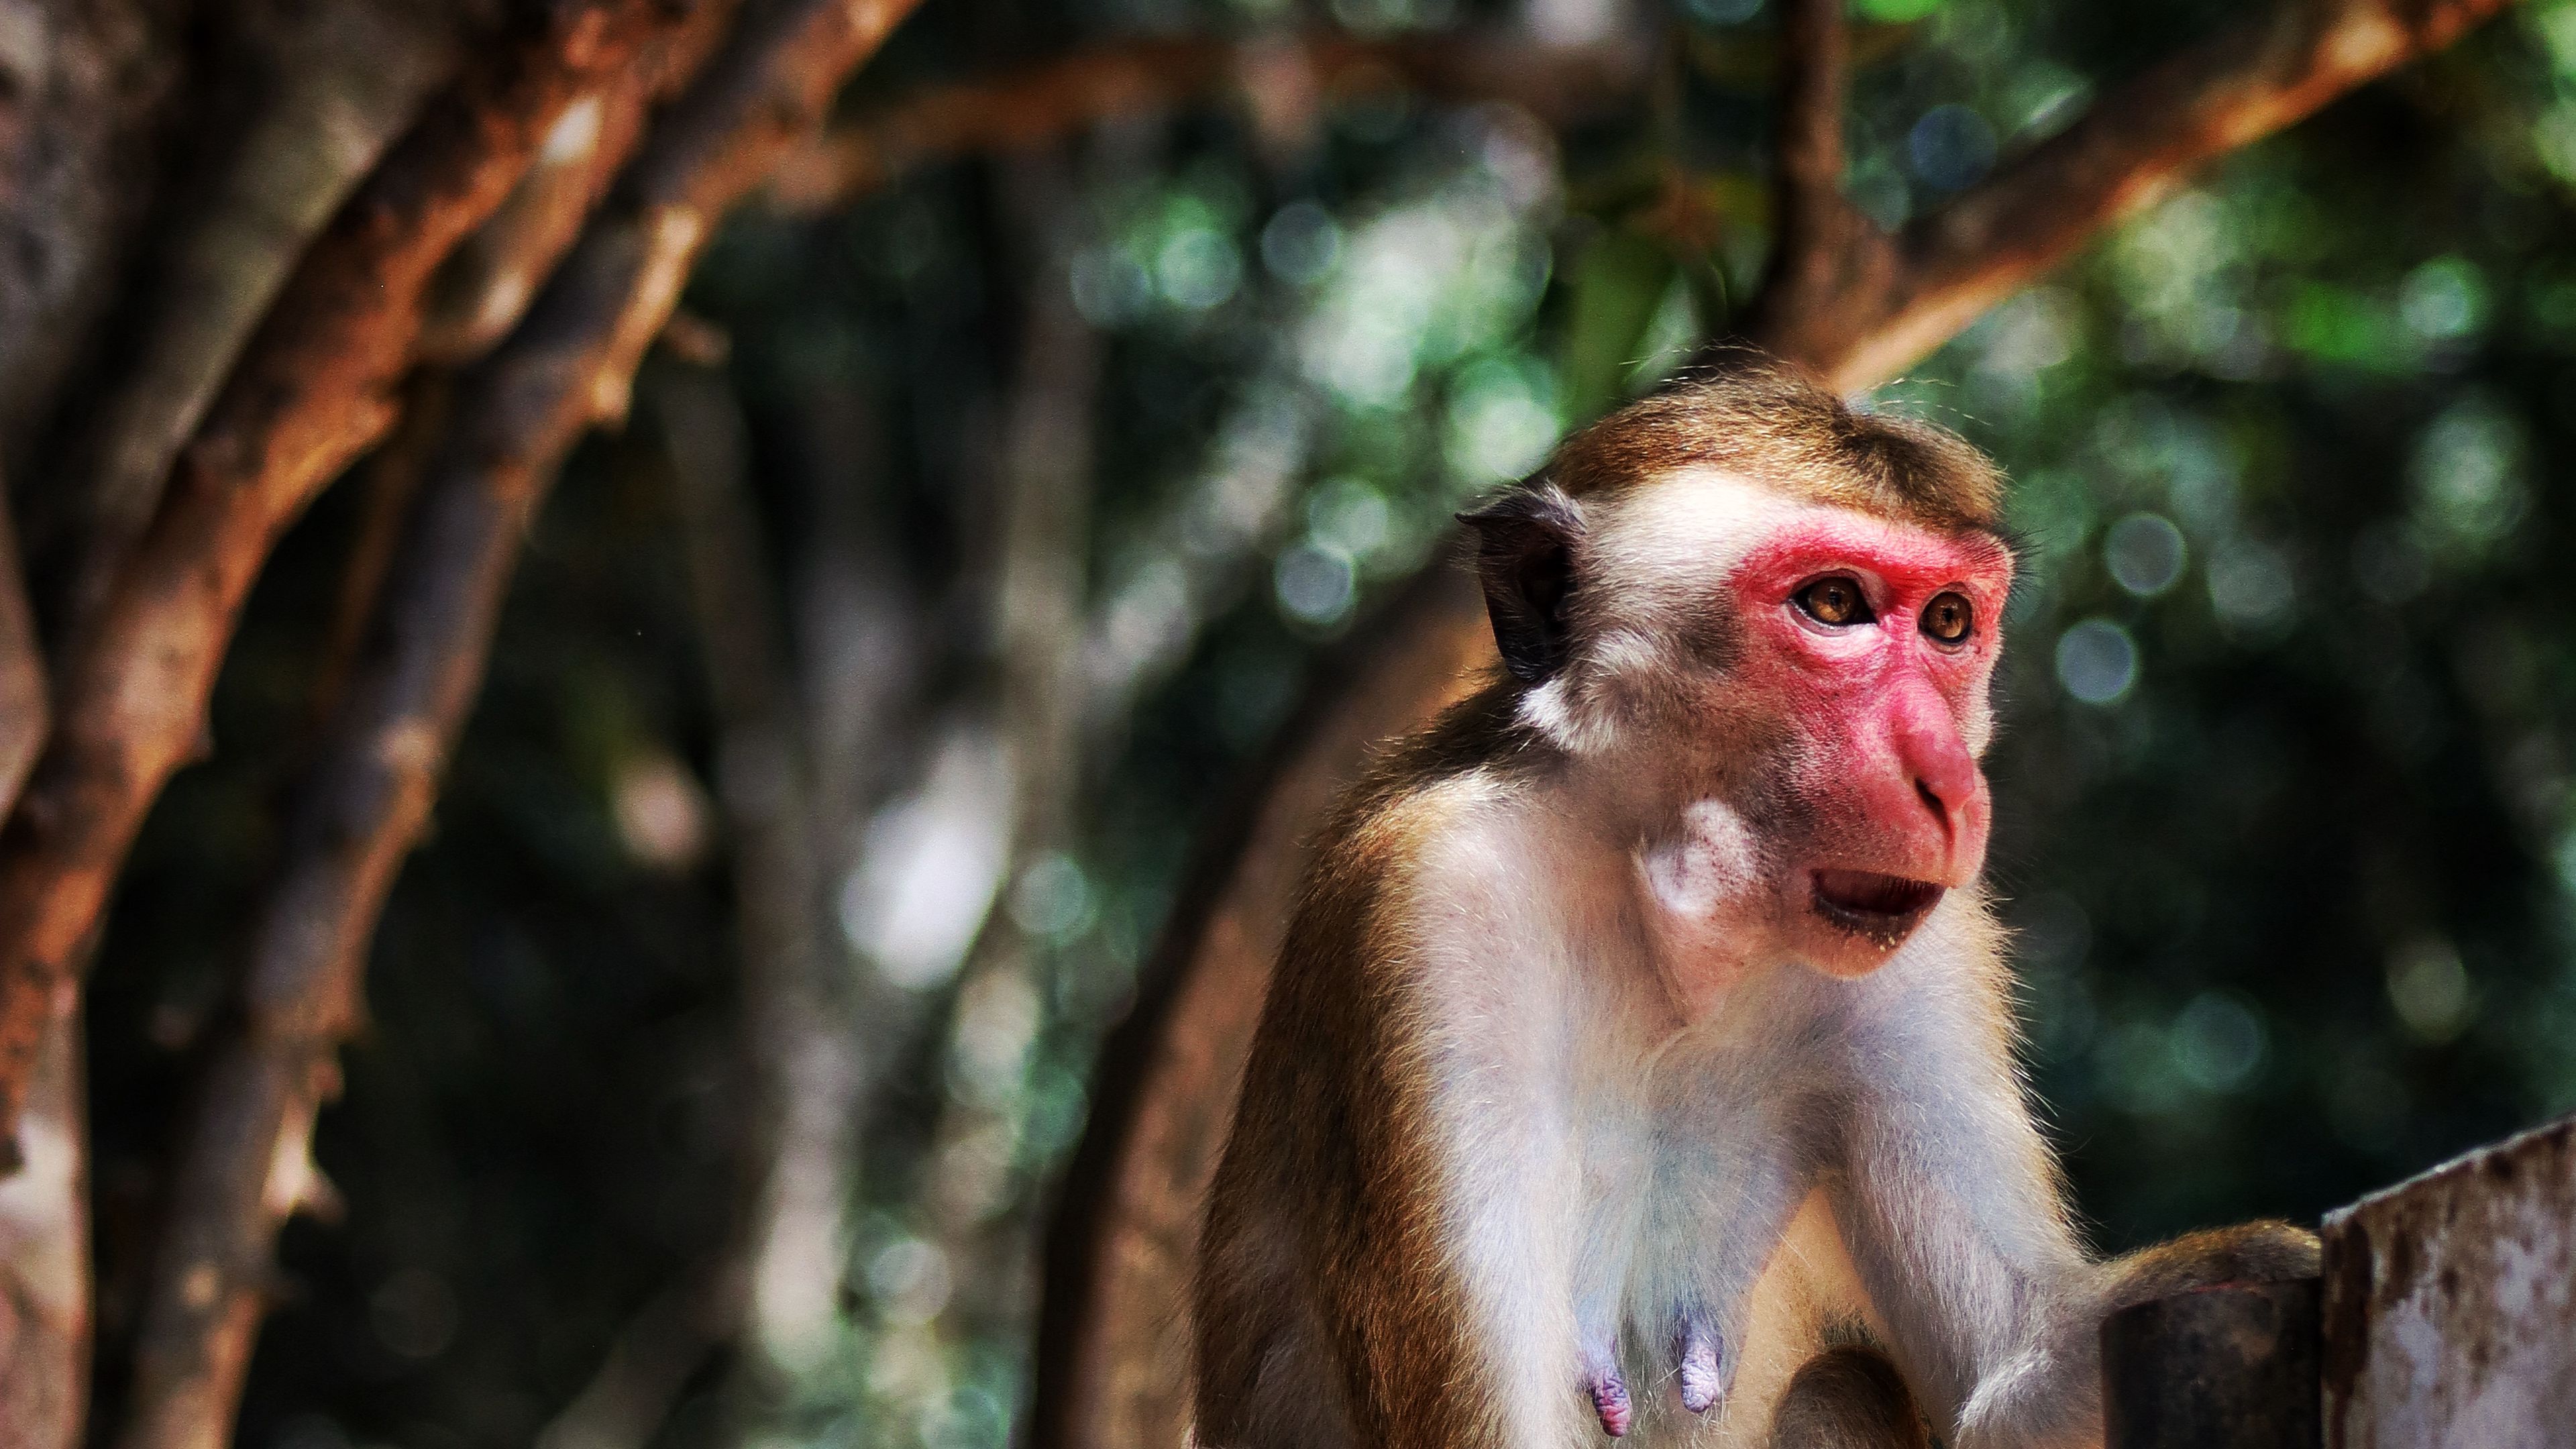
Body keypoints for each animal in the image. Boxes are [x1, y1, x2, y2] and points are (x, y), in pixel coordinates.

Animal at [1190, 365, 2316, 1449]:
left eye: (1950, 622)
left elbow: (2011, 1379)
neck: (1663, 919)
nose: (1956, 789)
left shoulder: (1923, 960)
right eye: (1834, 605)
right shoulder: (1434, 907)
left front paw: (2267, 1268)